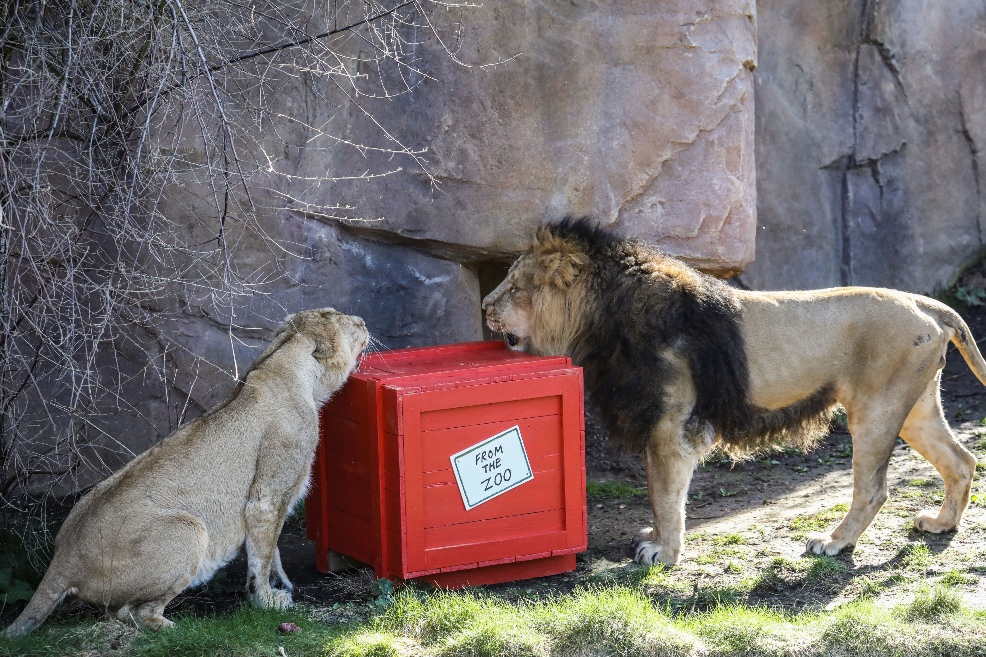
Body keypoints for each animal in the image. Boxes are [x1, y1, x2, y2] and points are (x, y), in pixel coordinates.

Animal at [5, 308, 368, 636]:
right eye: (346, 321)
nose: (364, 322)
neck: (284, 361)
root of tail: (63, 559)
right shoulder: (268, 495)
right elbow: (262, 554)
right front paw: (266, 600)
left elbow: (271, 548)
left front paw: (282, 583)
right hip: (189, 529)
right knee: (129, 613)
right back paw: (174, 628)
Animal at [483, 218, 985, 566]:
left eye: (514, 286)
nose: (485, 305)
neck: (603, 320)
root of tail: (926, 302)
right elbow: (657, 495)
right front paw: (654, 541)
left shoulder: (670, 428)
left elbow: (665, 494)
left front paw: (664, 554)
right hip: (915, 407)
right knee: (962, 460)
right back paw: (941, 524)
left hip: (876, 408)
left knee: (874, 489)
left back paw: (833, 542)